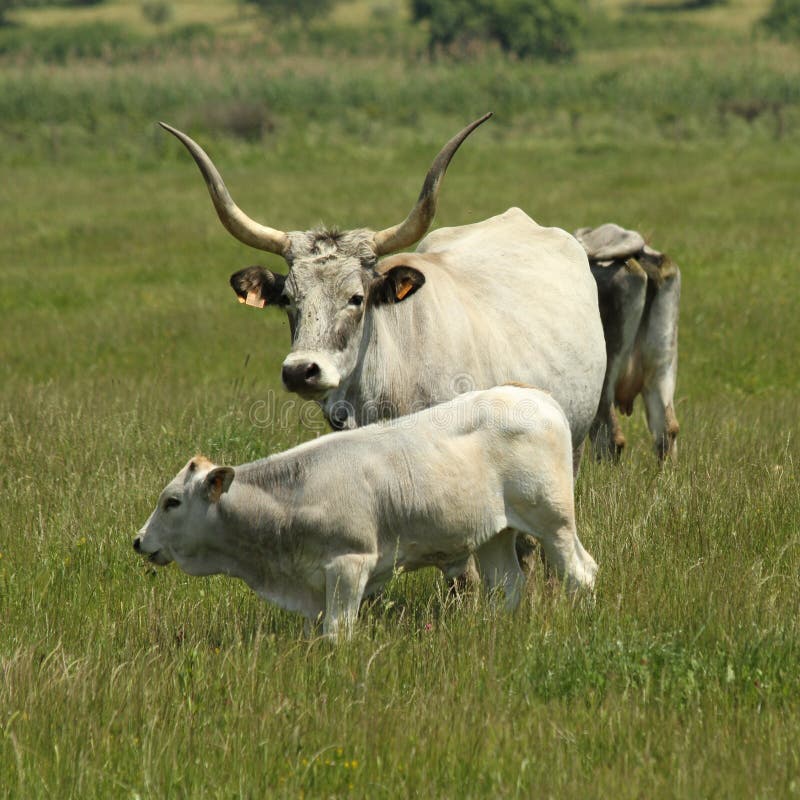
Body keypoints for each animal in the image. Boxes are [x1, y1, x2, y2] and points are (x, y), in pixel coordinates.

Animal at [133, 385, 598, 641]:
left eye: (171, 502)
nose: (138, 541)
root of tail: (536, 396)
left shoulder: (349, 564)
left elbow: (339, 633)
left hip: (553, 522)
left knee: (580, 572)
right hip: (494, 535)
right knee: (508, 586)